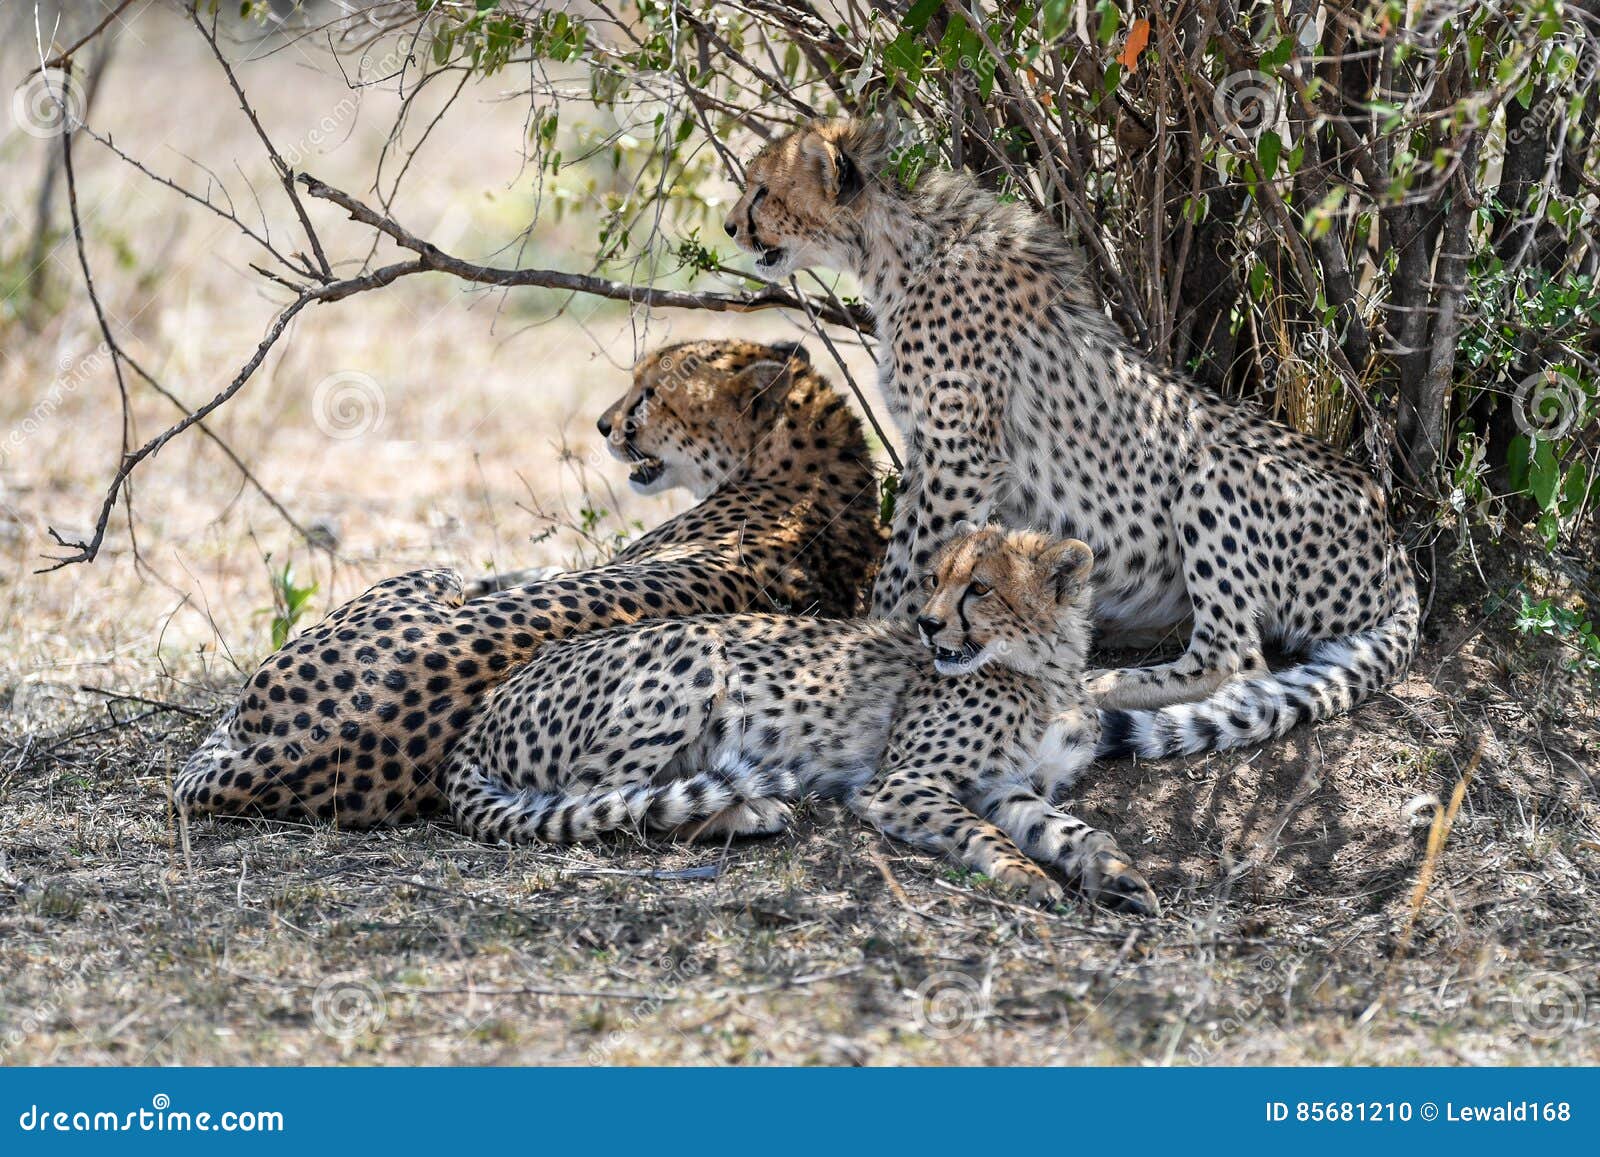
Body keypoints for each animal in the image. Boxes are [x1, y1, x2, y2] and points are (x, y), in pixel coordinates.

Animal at [173, 339, 885, 827]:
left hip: (430, 578)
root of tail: (312, 742)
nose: (603, 425)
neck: (809, 467)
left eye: (651, 392)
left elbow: (519, 571)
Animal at [441, 524, 1158, 915]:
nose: (927, 624)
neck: (1041, 671)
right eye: (935, 580)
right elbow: (981, 832)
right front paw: (1025, 876)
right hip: (692, 646)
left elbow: (1076, 830)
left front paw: (1119, 875)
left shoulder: (1009, 786)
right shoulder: (899, 782)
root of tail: (478, 723)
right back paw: (747, 810)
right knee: (601, 802)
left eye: (979, 587)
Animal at [723, 116, 1419, 760]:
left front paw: (895, 637)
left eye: (761, 191)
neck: (898, 248)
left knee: (1236, 660)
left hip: (1215, 469)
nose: (731, 227)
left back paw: (1103, 685)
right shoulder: (929, 456)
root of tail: (1392, 540)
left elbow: (918, 557)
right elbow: (907, 557)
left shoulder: (960, 458)